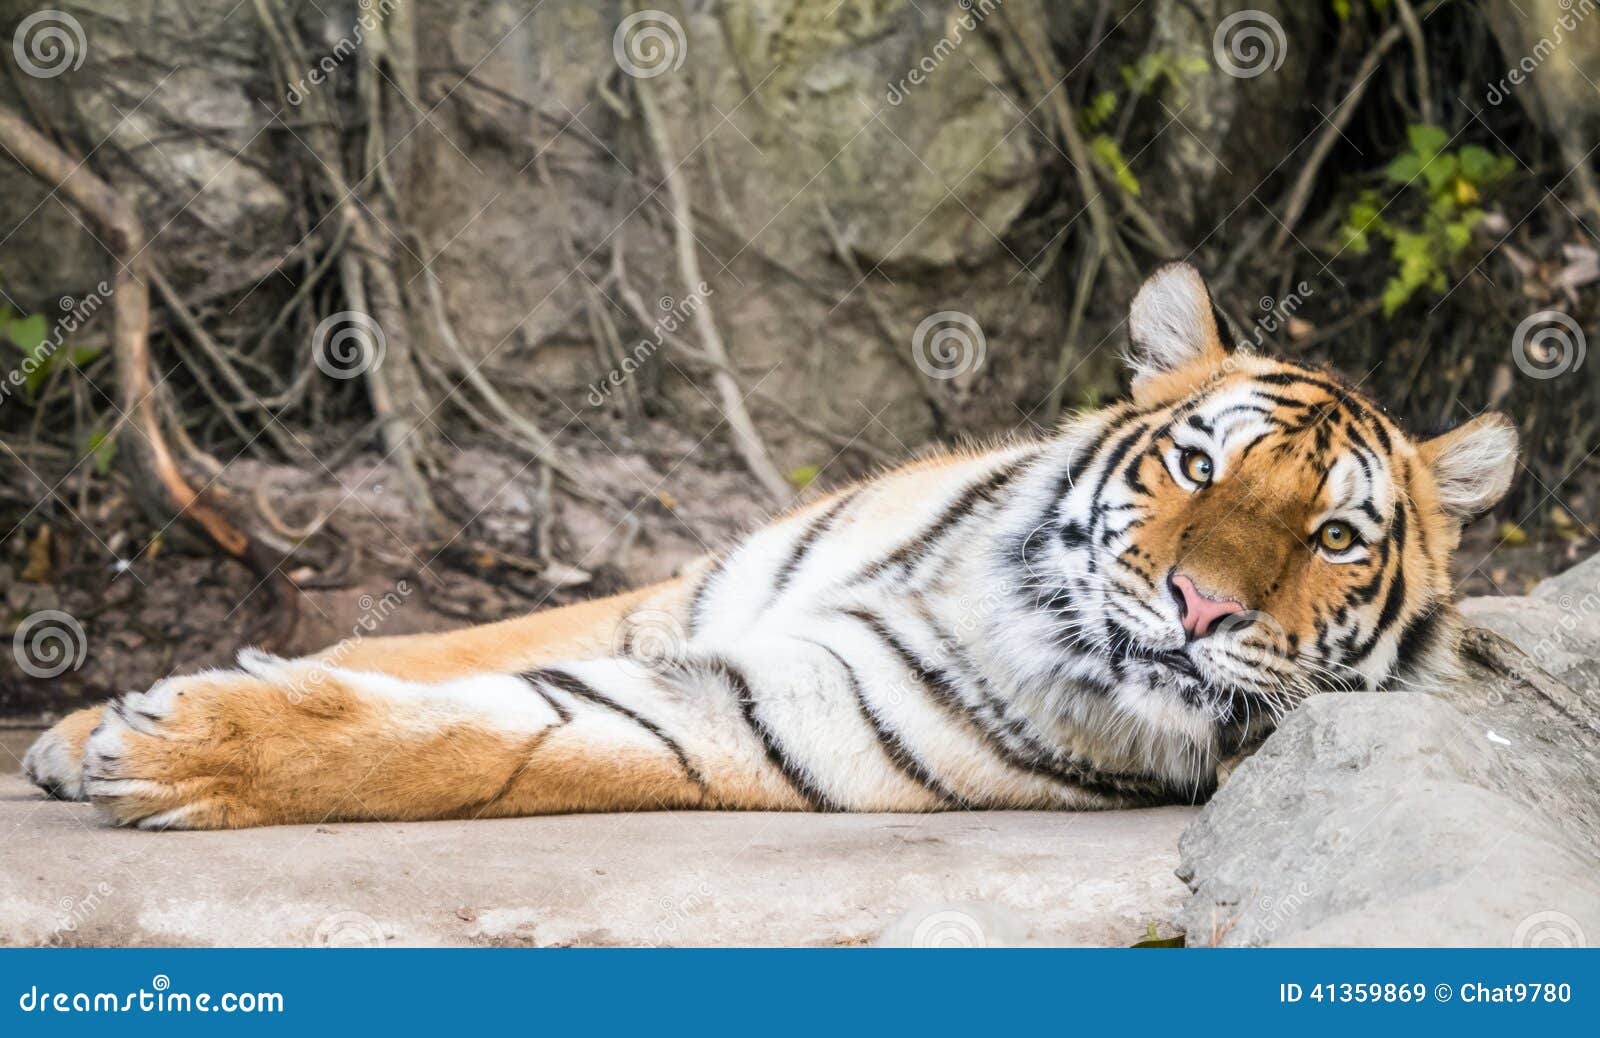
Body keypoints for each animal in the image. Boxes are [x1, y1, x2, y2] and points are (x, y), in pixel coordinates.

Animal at [21, 262, 1518, 830]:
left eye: (1334, 535)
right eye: (1199, 466)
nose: (1200, 606)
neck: (989, 583)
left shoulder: (776, 707)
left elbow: (480, 743)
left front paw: (178, 748)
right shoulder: (674, 598)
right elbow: (431, 646)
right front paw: (76, 723)